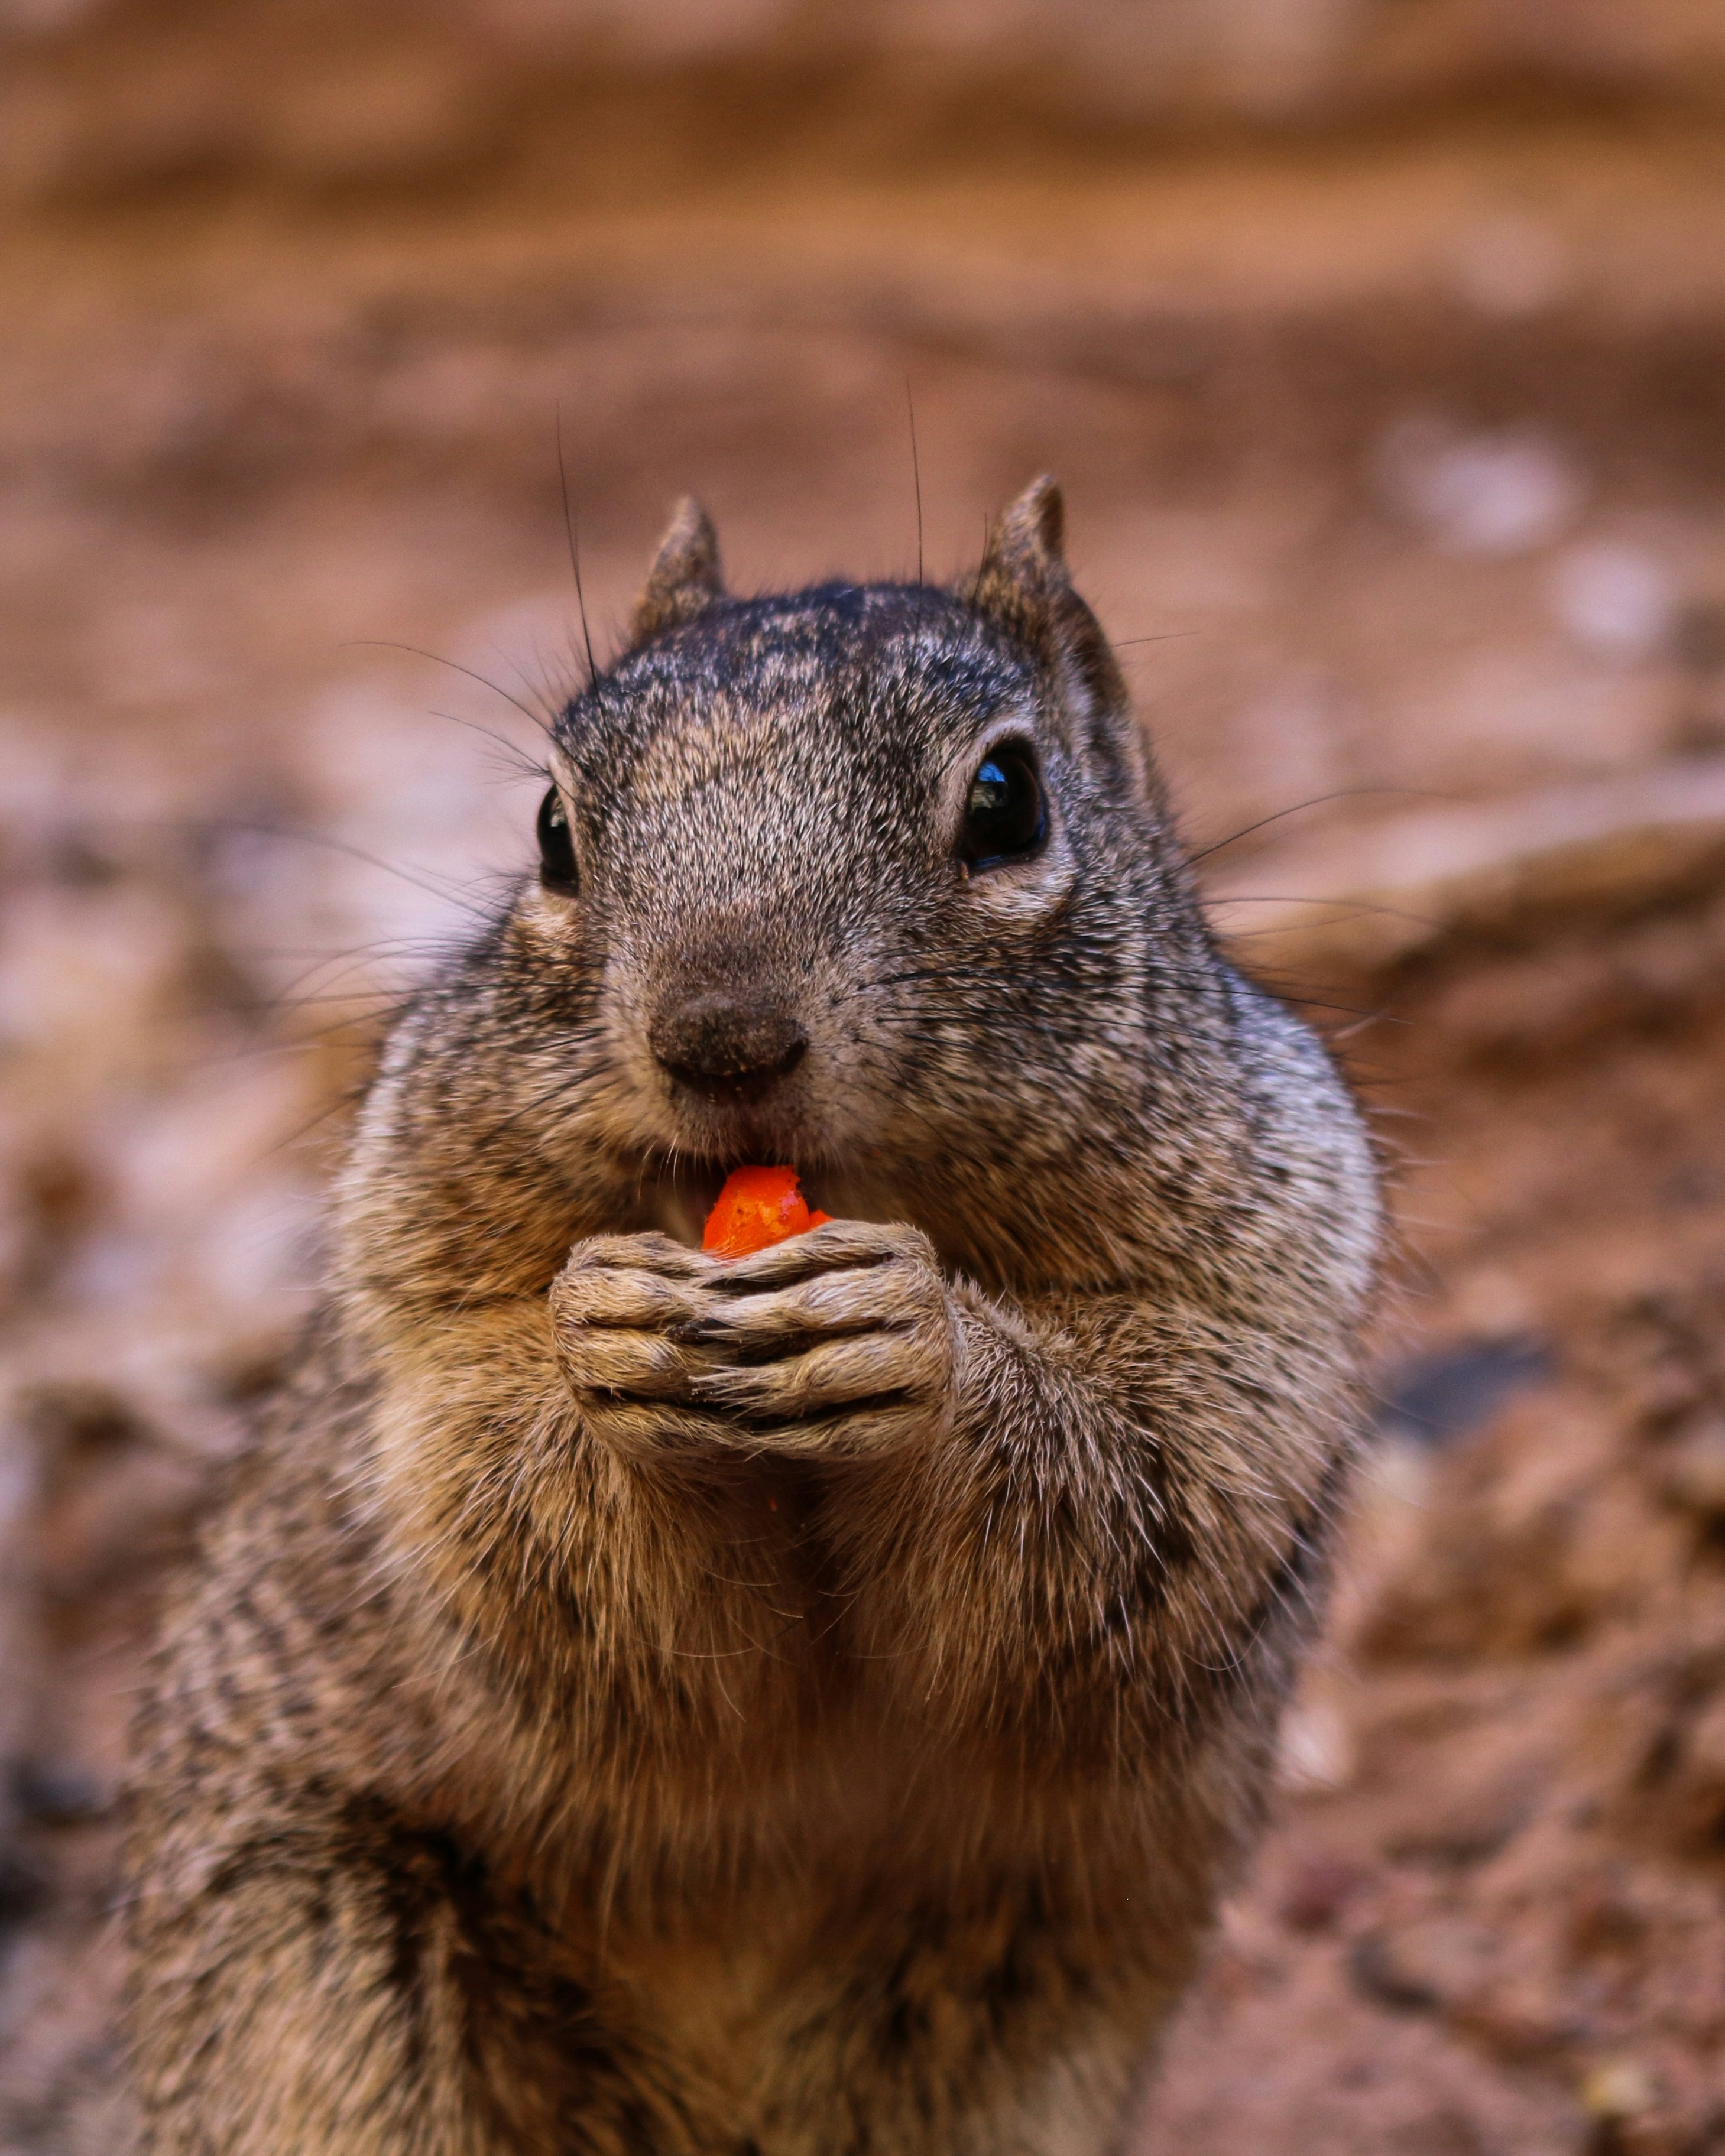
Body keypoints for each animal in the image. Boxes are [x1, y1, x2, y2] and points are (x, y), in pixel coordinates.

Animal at [124, 478, 1382, 2155]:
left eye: (1007, 801)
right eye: (551, 830)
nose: (720, 1038)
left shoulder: (1251, 1320)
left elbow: (1121, 1534)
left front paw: (923, 1349)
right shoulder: (423, 1339)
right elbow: (544, 1571)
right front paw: (605, 1348)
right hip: (312, 1971)